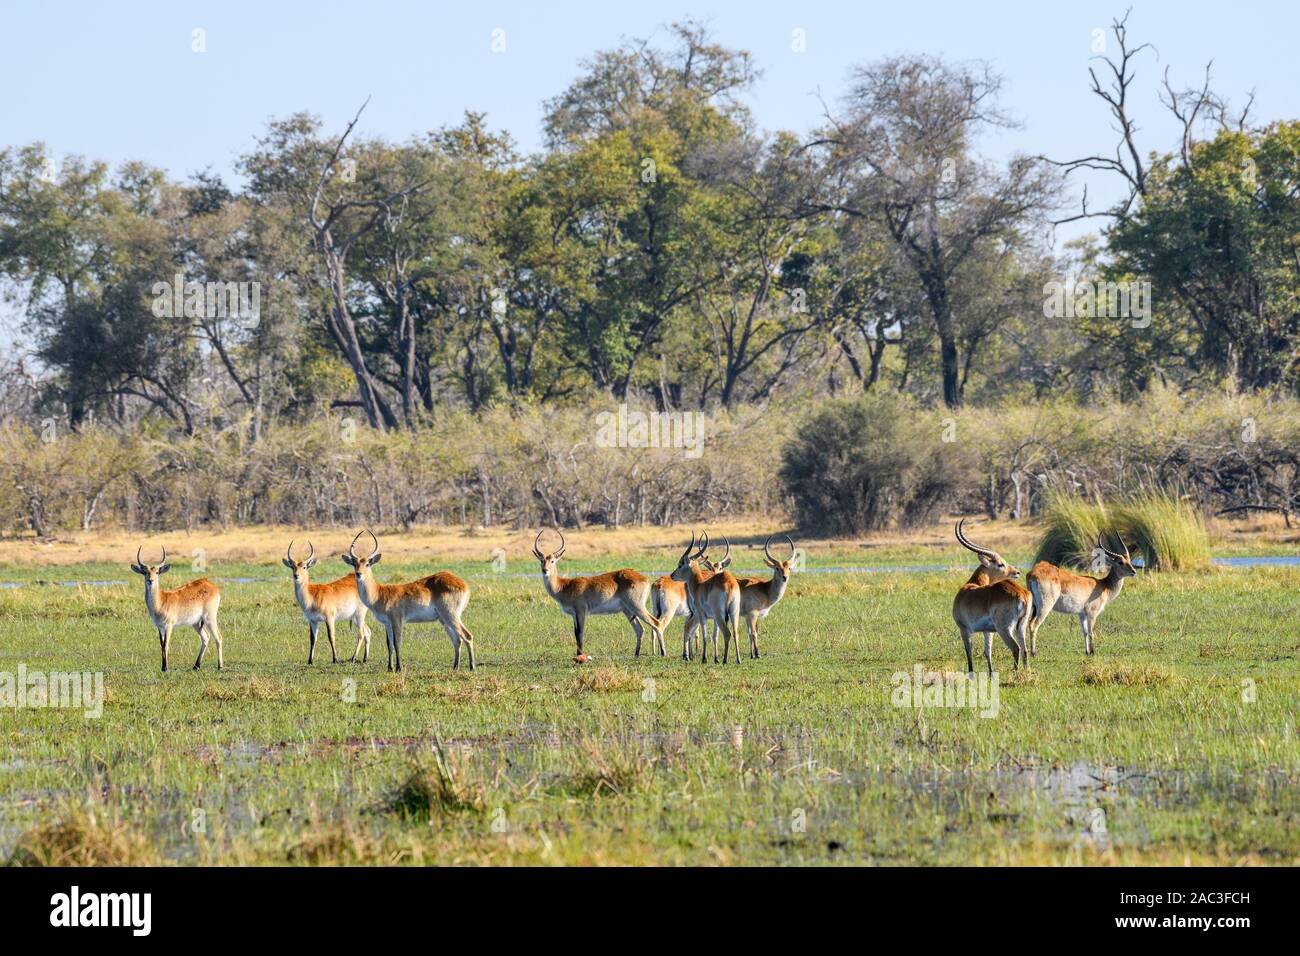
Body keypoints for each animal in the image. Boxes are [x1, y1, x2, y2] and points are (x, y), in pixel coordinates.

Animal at [341, 530, 476, 672]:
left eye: (367, 563)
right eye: (354, 563)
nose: (359, 574)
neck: (379, 594)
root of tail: (464, 584)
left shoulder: (397, 621)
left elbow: (397, 644)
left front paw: (399, 668)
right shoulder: (387, 624)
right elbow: (389, 645)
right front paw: (390, 668)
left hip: (450, 615)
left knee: (467, 636)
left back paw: (472, 667)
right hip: (444, 619)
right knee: (457, 640)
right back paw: (455, 667)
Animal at [532, 530, 665, 659]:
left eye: (552, 561)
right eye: (542, 560)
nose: (545, 570)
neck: (564, 586)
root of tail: (645, 578)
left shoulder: (581, 611)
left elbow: (580, 633)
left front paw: (580, 656)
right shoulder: (574, 615)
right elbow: (575, 633)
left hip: (637, 606)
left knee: (656, 623)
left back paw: (663, 653)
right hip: (628, 610)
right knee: (640, 629)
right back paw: (636, 654)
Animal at [669, 531, 742, 664]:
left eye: (680, 564)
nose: (672, 575)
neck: (699, 585)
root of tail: (729, 583)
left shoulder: (702, 614)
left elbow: (705, 635)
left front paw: (704, 658)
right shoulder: (711, 618)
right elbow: (714, 636)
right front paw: (715, 658)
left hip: (719, 614)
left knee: (726, 633)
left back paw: (724, 660)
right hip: (734, 612)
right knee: (735, 633)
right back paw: (738, 660)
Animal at [951, 520, 1032, 676]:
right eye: (1000, 564)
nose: (1017, 572)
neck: (971, 586)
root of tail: (1021, 593)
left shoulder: (964, 629)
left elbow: (969, 652)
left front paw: (971, 675)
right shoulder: (987, 631)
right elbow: (987, 652)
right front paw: (991, 673)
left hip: (1004, 629)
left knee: (1016, 648)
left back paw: (1015, 675)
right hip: (1021, 626)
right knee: (1025, 649)